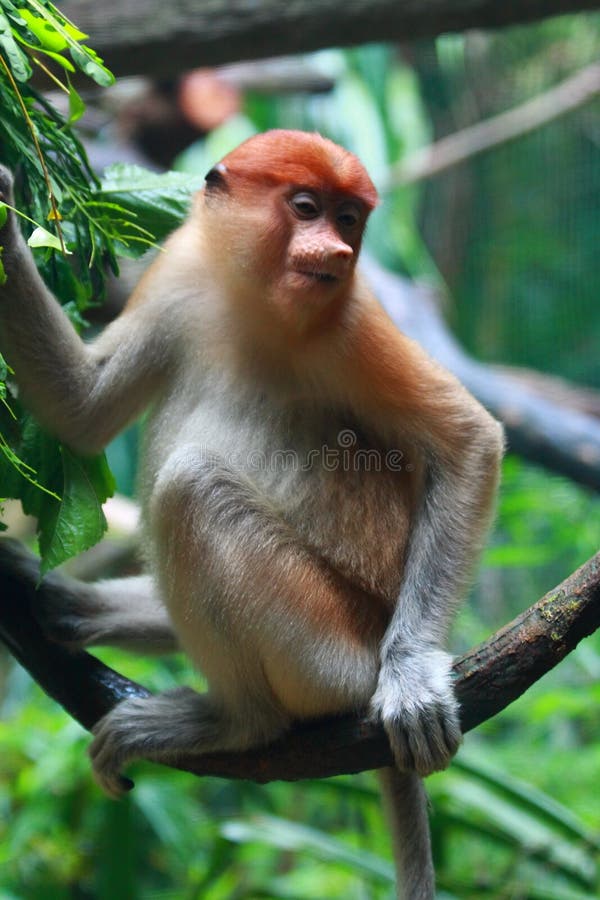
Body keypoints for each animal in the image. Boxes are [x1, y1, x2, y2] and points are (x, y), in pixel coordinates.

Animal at [0, 130, 503, 900]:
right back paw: (67, 605)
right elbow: (83, 407)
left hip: (329, 651)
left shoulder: (350, 323)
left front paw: (413, 680)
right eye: (306, 208)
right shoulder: (181, 272)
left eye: (350, 218)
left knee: (191, 487)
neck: (254, 301)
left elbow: (468, 441)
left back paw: (237, 723)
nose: (335, 252)